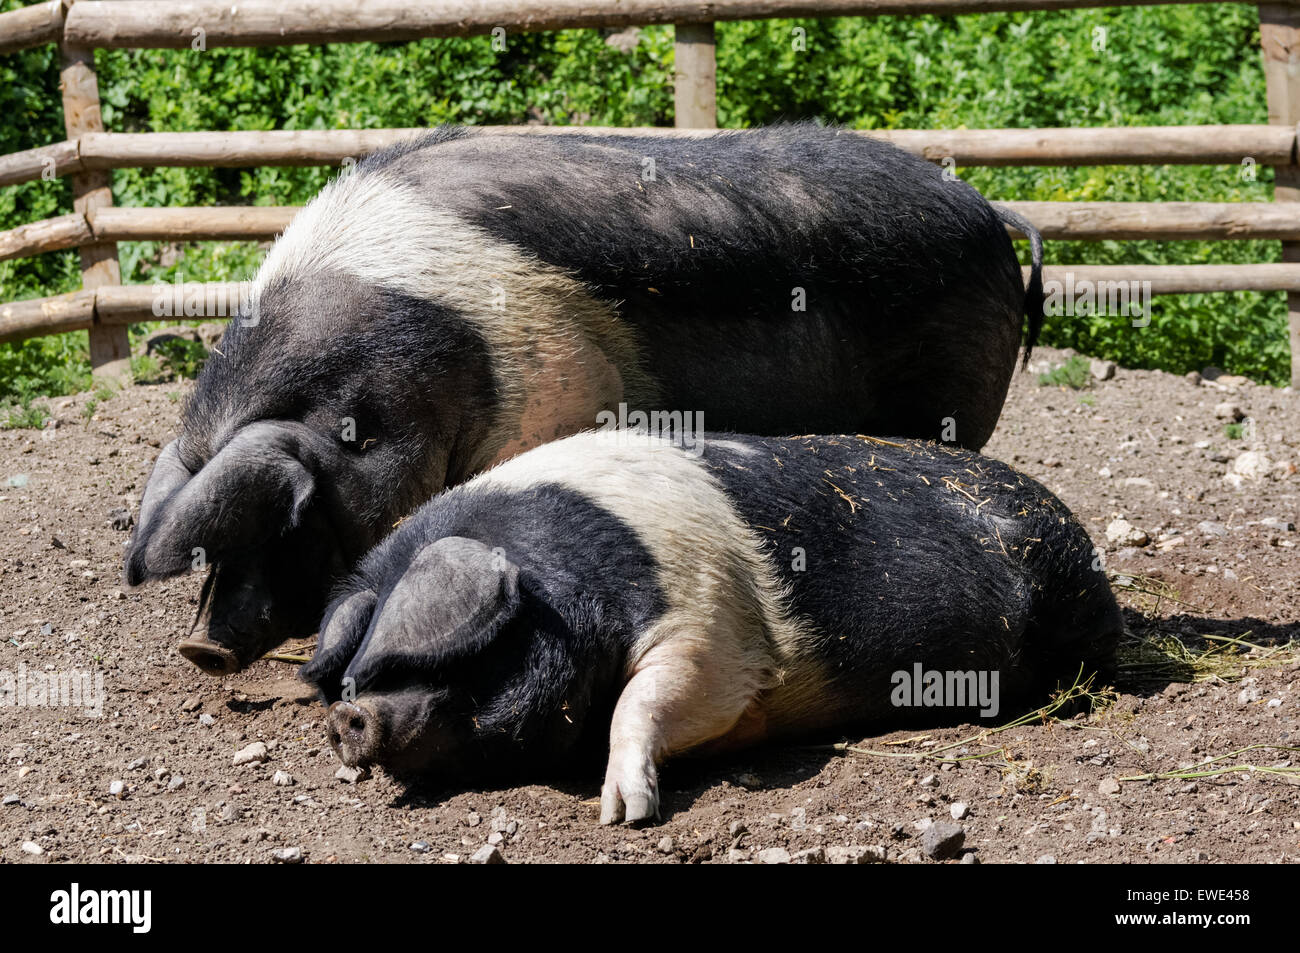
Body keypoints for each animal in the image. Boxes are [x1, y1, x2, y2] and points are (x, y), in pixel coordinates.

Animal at [299, 430, 1119, 824]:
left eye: (451, 656)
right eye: (357, 674)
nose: (347, 716)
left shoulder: (713, 629)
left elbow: (653, 699)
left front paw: (621, 812)